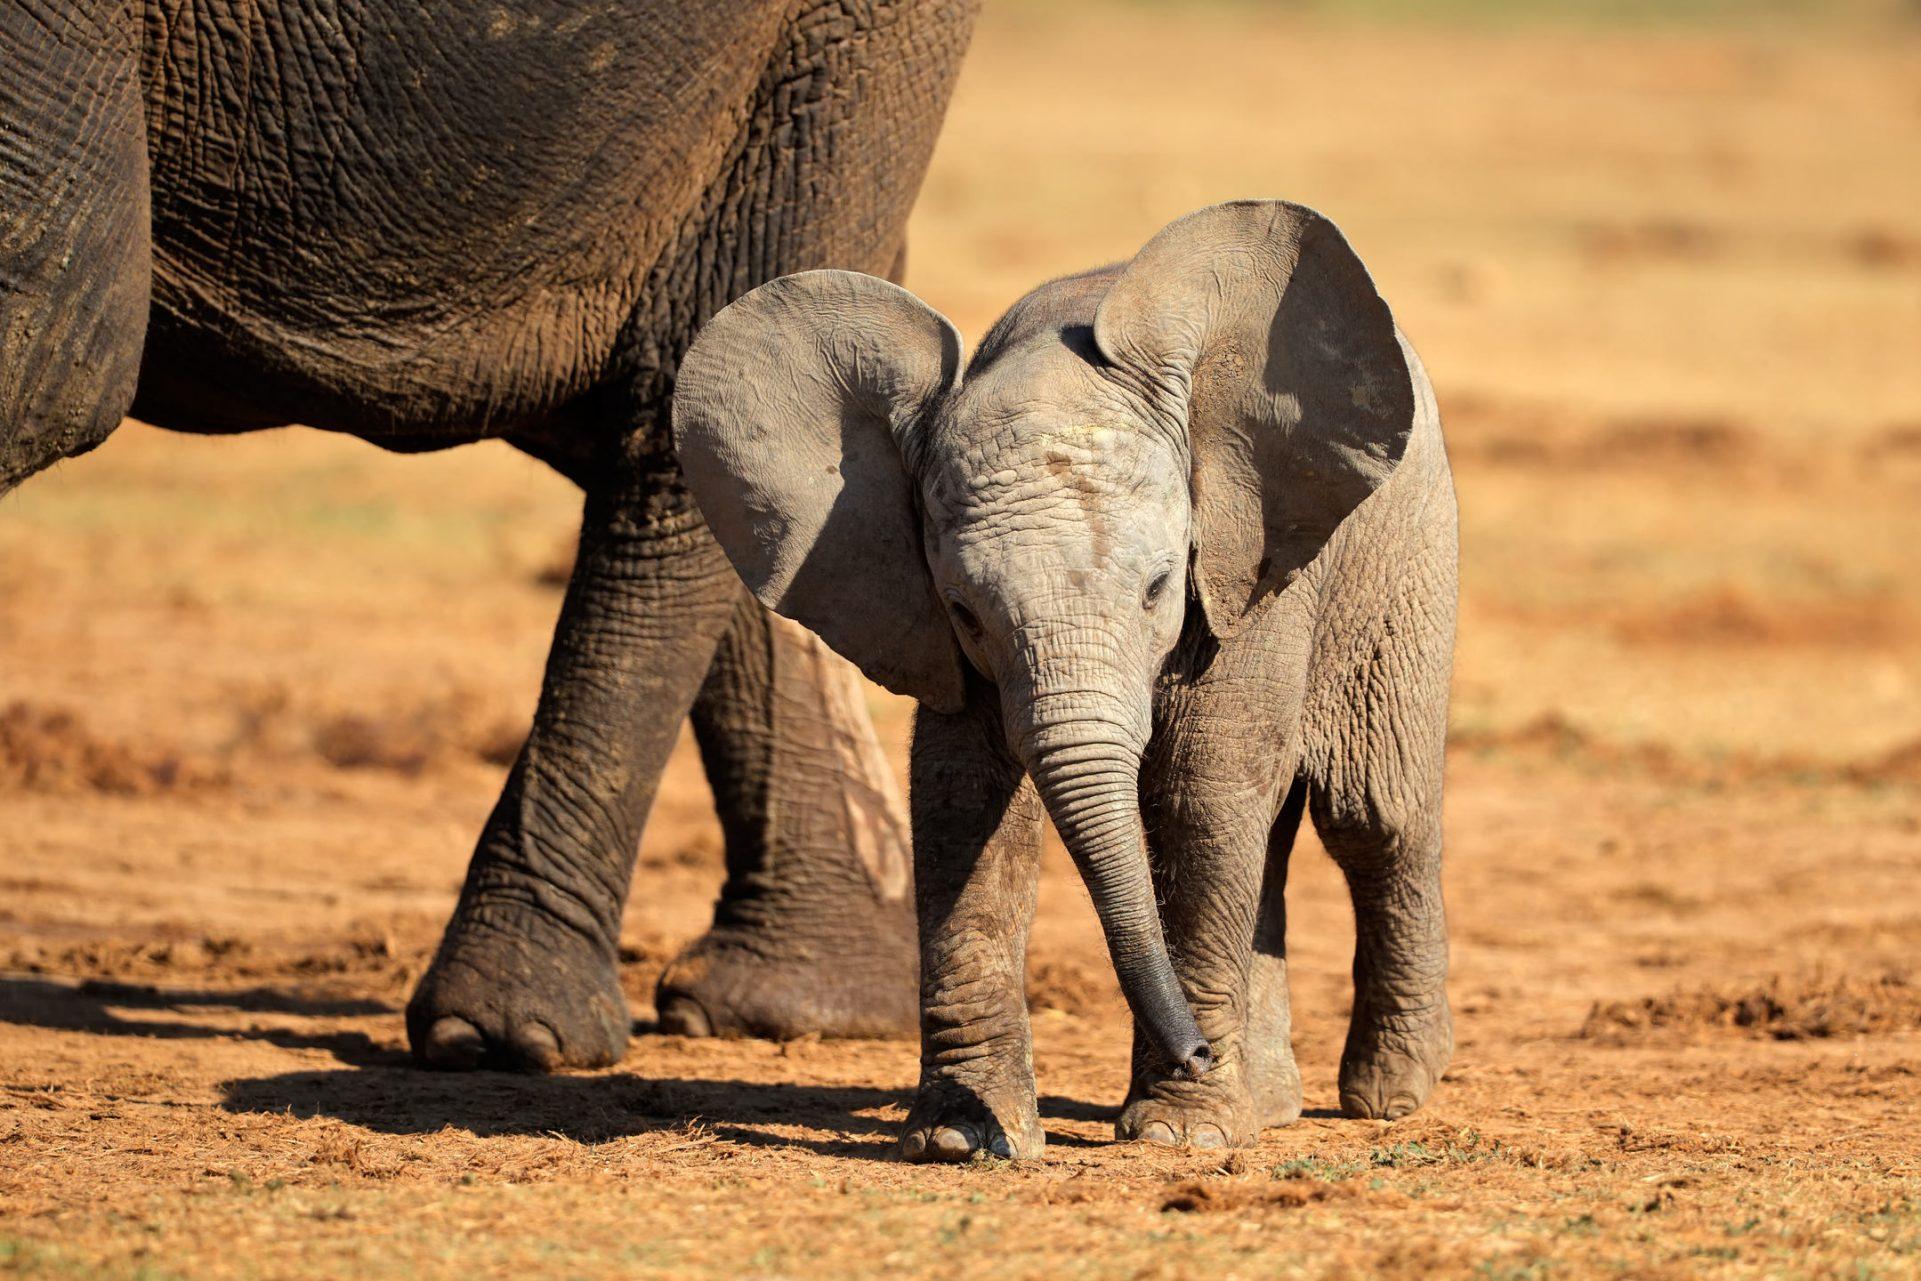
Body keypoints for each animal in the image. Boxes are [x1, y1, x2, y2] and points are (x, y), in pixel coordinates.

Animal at [675, 200, 1457, 1158]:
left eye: (1159, 586)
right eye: (966, 610)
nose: (1198, 1050)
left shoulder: (1239, 565)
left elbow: (1200, 786)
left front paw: (1179, 1136)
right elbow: (963, 798)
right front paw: (962, 1137)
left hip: (1407, 548)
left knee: (1369, 812)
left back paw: (1390, 1093)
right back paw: (1270, 1102)